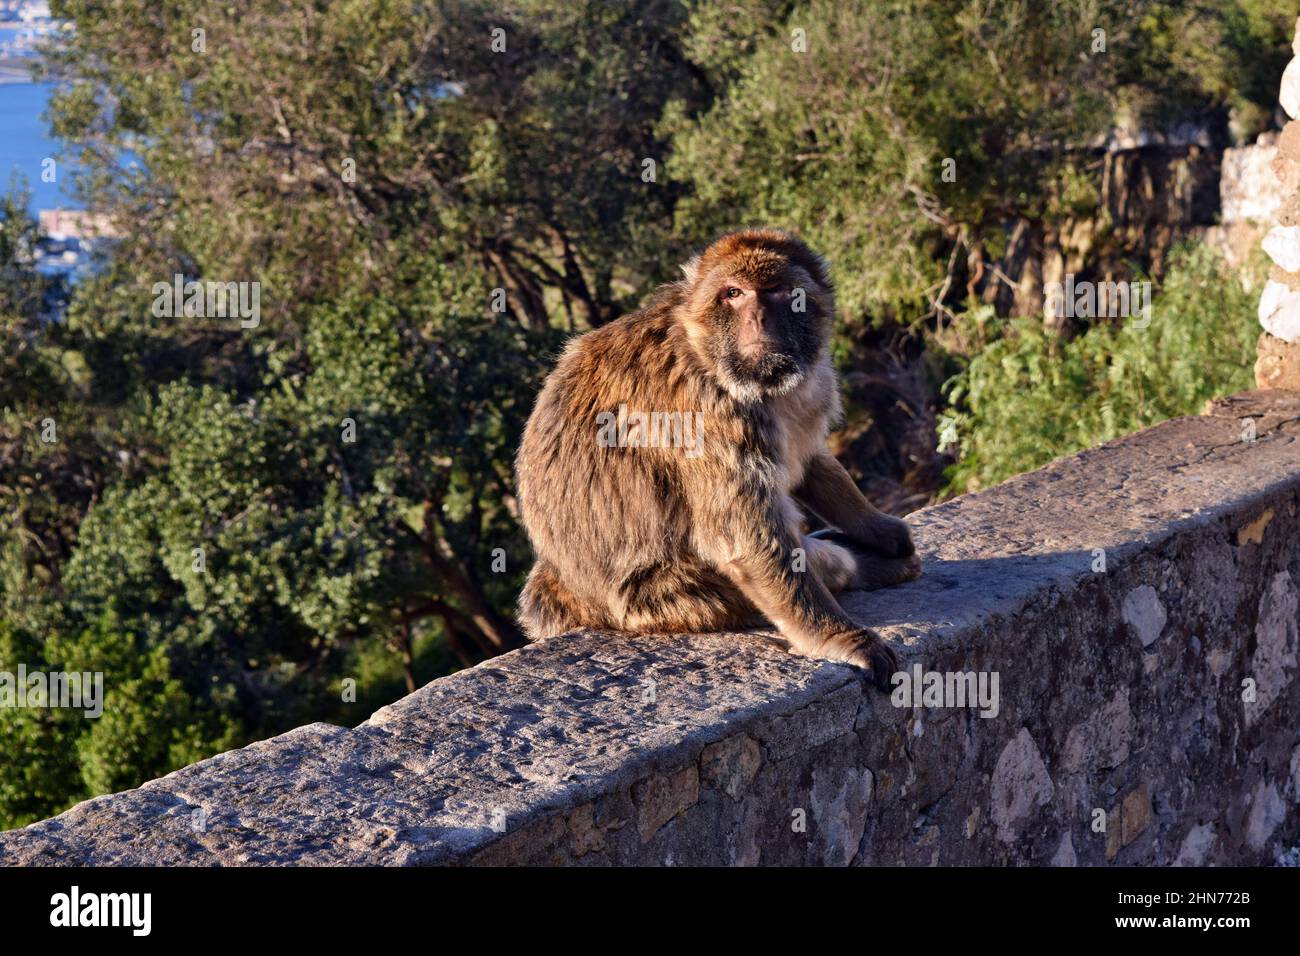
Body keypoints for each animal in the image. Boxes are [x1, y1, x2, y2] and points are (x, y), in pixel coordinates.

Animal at [514, 229, 920, 688]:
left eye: (777, 290)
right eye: (734, 293)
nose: (758, 318)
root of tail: (565, 584)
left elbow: (807, 460)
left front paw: (878, 527)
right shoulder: (707, 414)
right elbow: (745, 540)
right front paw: (840, 639)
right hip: (661, 600)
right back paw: (857, 569)